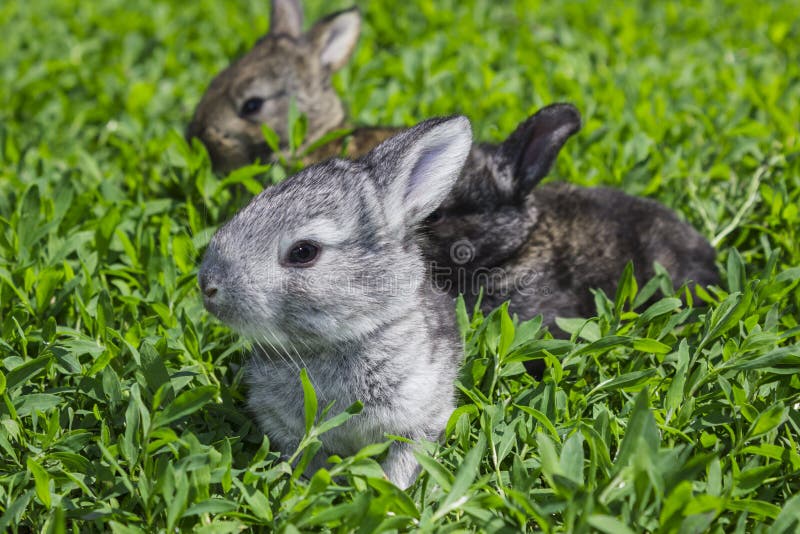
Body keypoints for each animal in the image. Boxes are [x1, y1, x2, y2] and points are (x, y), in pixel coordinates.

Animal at [198, 115, 473, 488]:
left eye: (304, 252)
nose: (208, 285)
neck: (338, 342)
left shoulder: (421, 419)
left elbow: (405, 458)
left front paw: (391, 491)